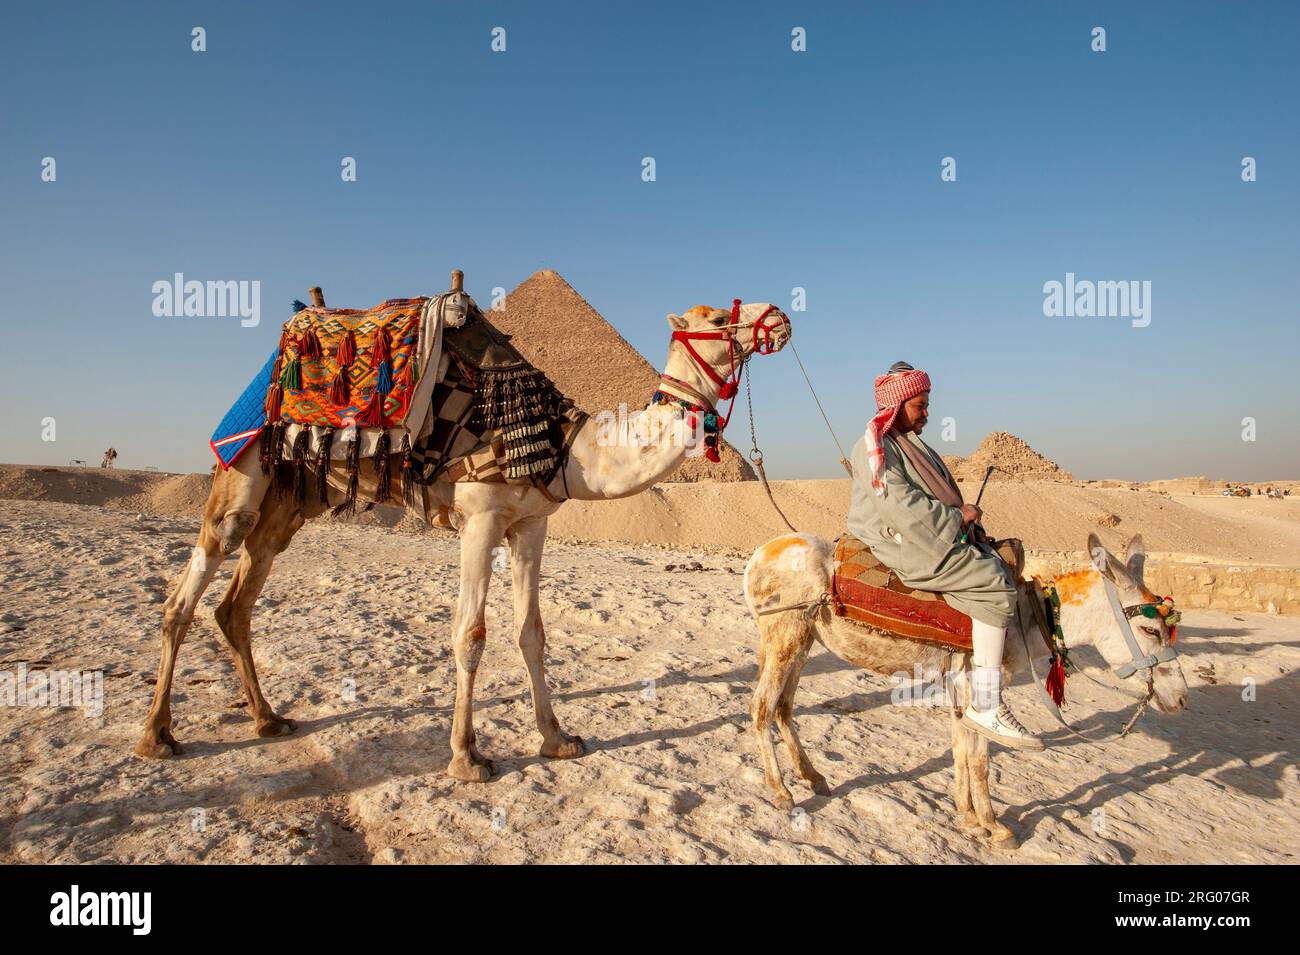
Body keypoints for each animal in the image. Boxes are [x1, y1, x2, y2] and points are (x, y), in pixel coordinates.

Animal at [135, 297, 792, 783]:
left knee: (236, 604)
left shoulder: (530, 524)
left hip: (290, 502)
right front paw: (466, 756)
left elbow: (532, 632)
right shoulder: (479, 518)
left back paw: (268, 719)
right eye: (716, 318)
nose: (779, 315)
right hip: (241, 473)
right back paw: (157, 734)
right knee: (183, 598)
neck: (567, 447)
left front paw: (557, 738)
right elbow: (470, 635)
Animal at [743, 531, 1188, 848]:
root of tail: (759, 555)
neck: (1026, 617)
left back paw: (813, 776)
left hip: (802, 640)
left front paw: (969, 819)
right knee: (762, 707)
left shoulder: (961, 688)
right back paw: (781, 791)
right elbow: (981, 760)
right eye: (1151, 629)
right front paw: (994, 826)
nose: (1181, 697)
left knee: (783, 707)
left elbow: (962, 749)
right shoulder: (981, 687)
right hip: (785, 635)